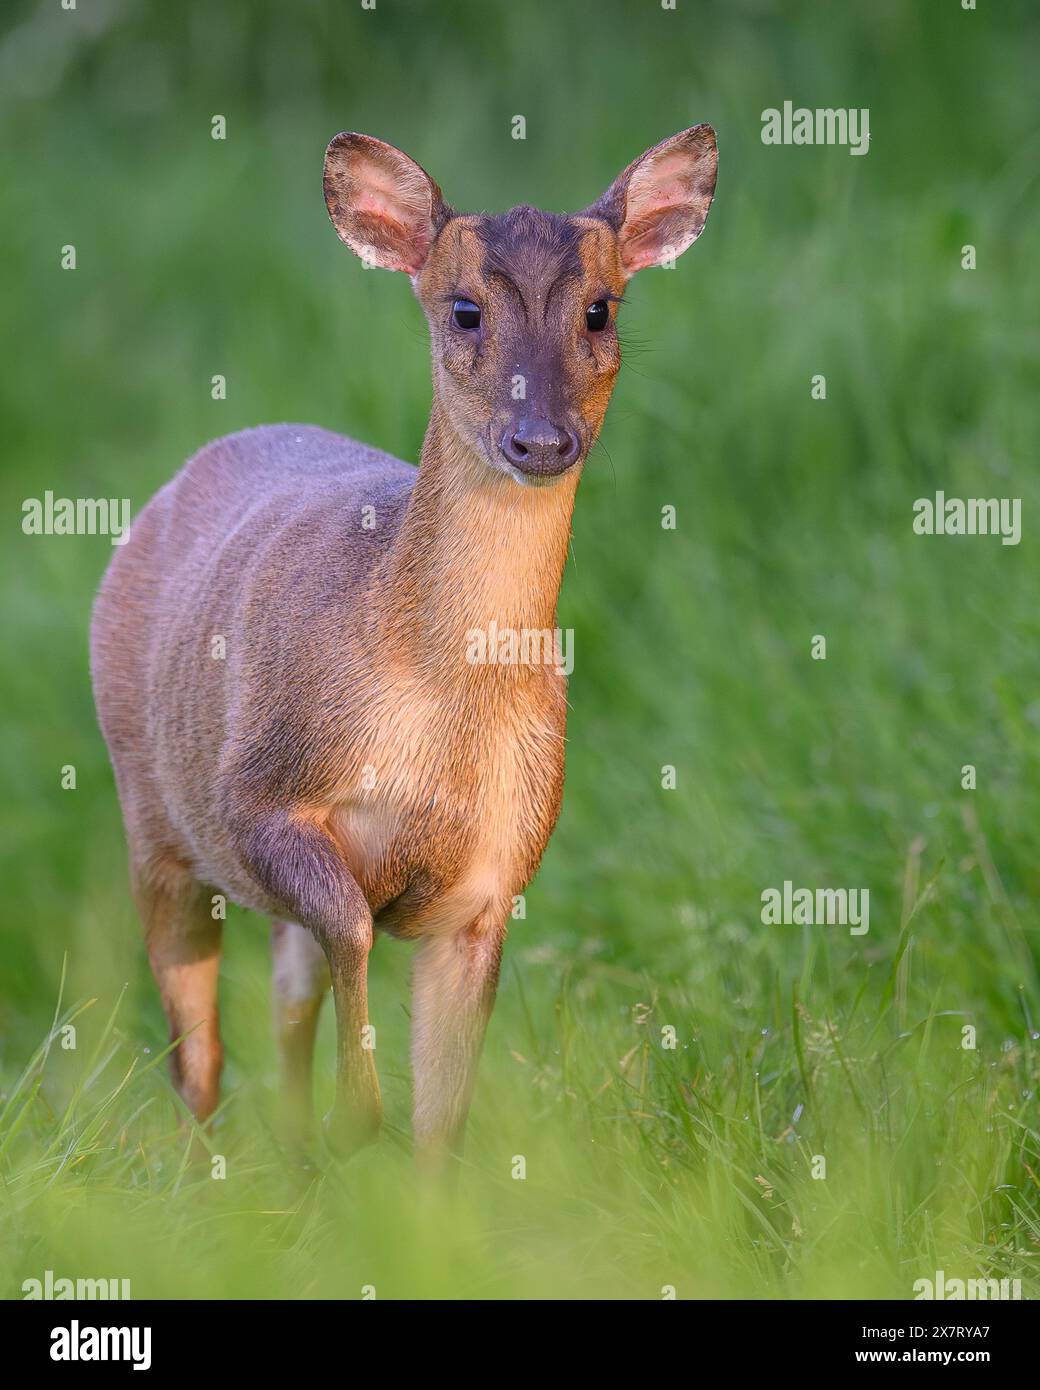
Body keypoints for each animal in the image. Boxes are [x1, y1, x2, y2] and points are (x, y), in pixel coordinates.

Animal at [90, 125, 718, 1171]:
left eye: (600, 308)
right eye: (464, 310)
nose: (541, 439)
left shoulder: (495, 874)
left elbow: (445, 1119)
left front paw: (389, 1166)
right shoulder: (255, 789)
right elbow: (348, 921)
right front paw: (359, 1114)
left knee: (283, 997)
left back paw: (293, 1164)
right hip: (152, 817)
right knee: (197, 1054)